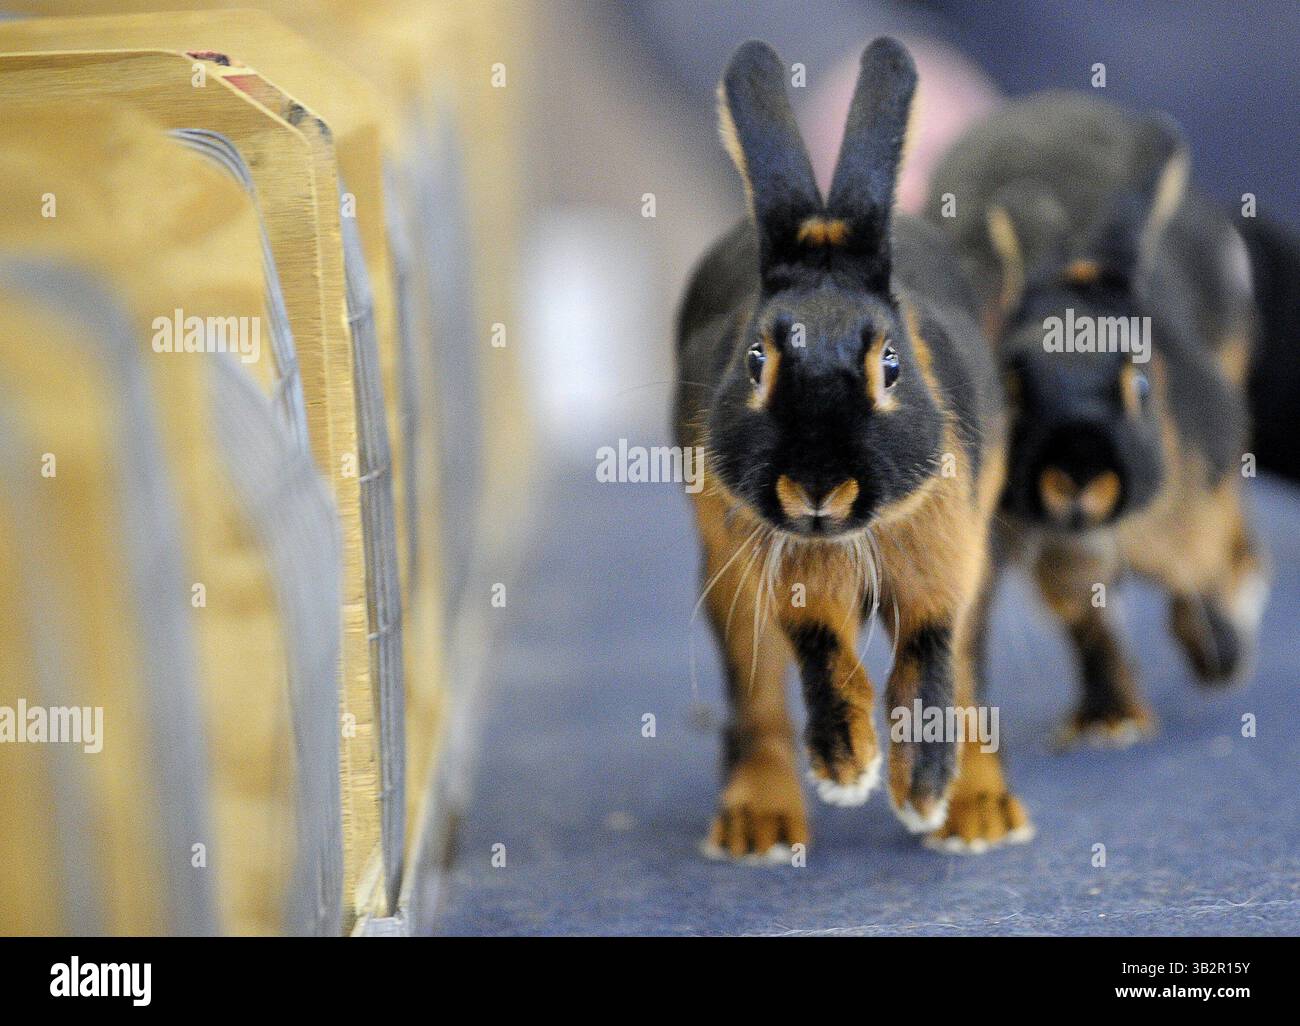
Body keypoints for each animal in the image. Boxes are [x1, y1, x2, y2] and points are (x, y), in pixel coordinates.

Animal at [674, 37, 1031, 857]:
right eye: (756, 361)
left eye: (890, 365)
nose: (816, 488)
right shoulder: (787, 574)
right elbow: (824, 652)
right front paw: (846, 769)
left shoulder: (945, 564)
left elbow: (931, 665)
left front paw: (922, 796)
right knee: (758, 696)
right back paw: (757, 823)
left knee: (970, 677)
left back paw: (979, 813)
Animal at [926, 92, 1269, 746]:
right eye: (1010, 386)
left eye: (1141, 383)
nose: (1079, 474)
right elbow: (1085, 616)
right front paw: (1108, 721)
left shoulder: (1191, 503)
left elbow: (1196, 568)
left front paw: (1221, 657)